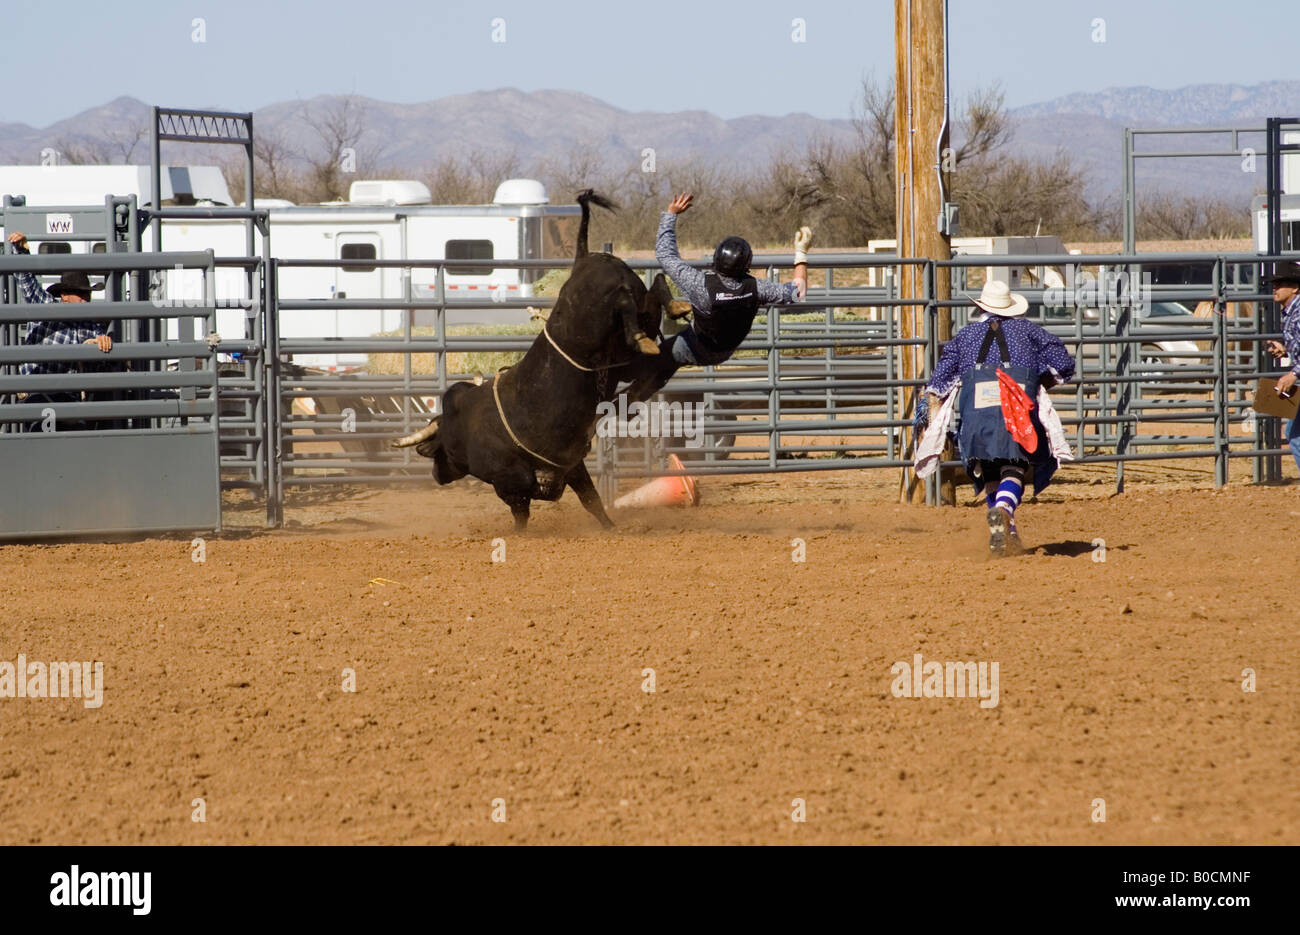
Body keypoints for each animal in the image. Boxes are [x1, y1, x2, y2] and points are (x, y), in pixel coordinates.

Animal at [391, 190, 672, 531]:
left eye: (437, 449)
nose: (435, 474)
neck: (465, 423)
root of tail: (583, 261)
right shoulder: (572, 465)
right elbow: (591, 500)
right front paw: (609, 527)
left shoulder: (509, 481)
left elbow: (520, 513)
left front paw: (519, 534)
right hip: (630, 343)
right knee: (652, 295)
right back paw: (670, 308)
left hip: (597, 318)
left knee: (623, 300)